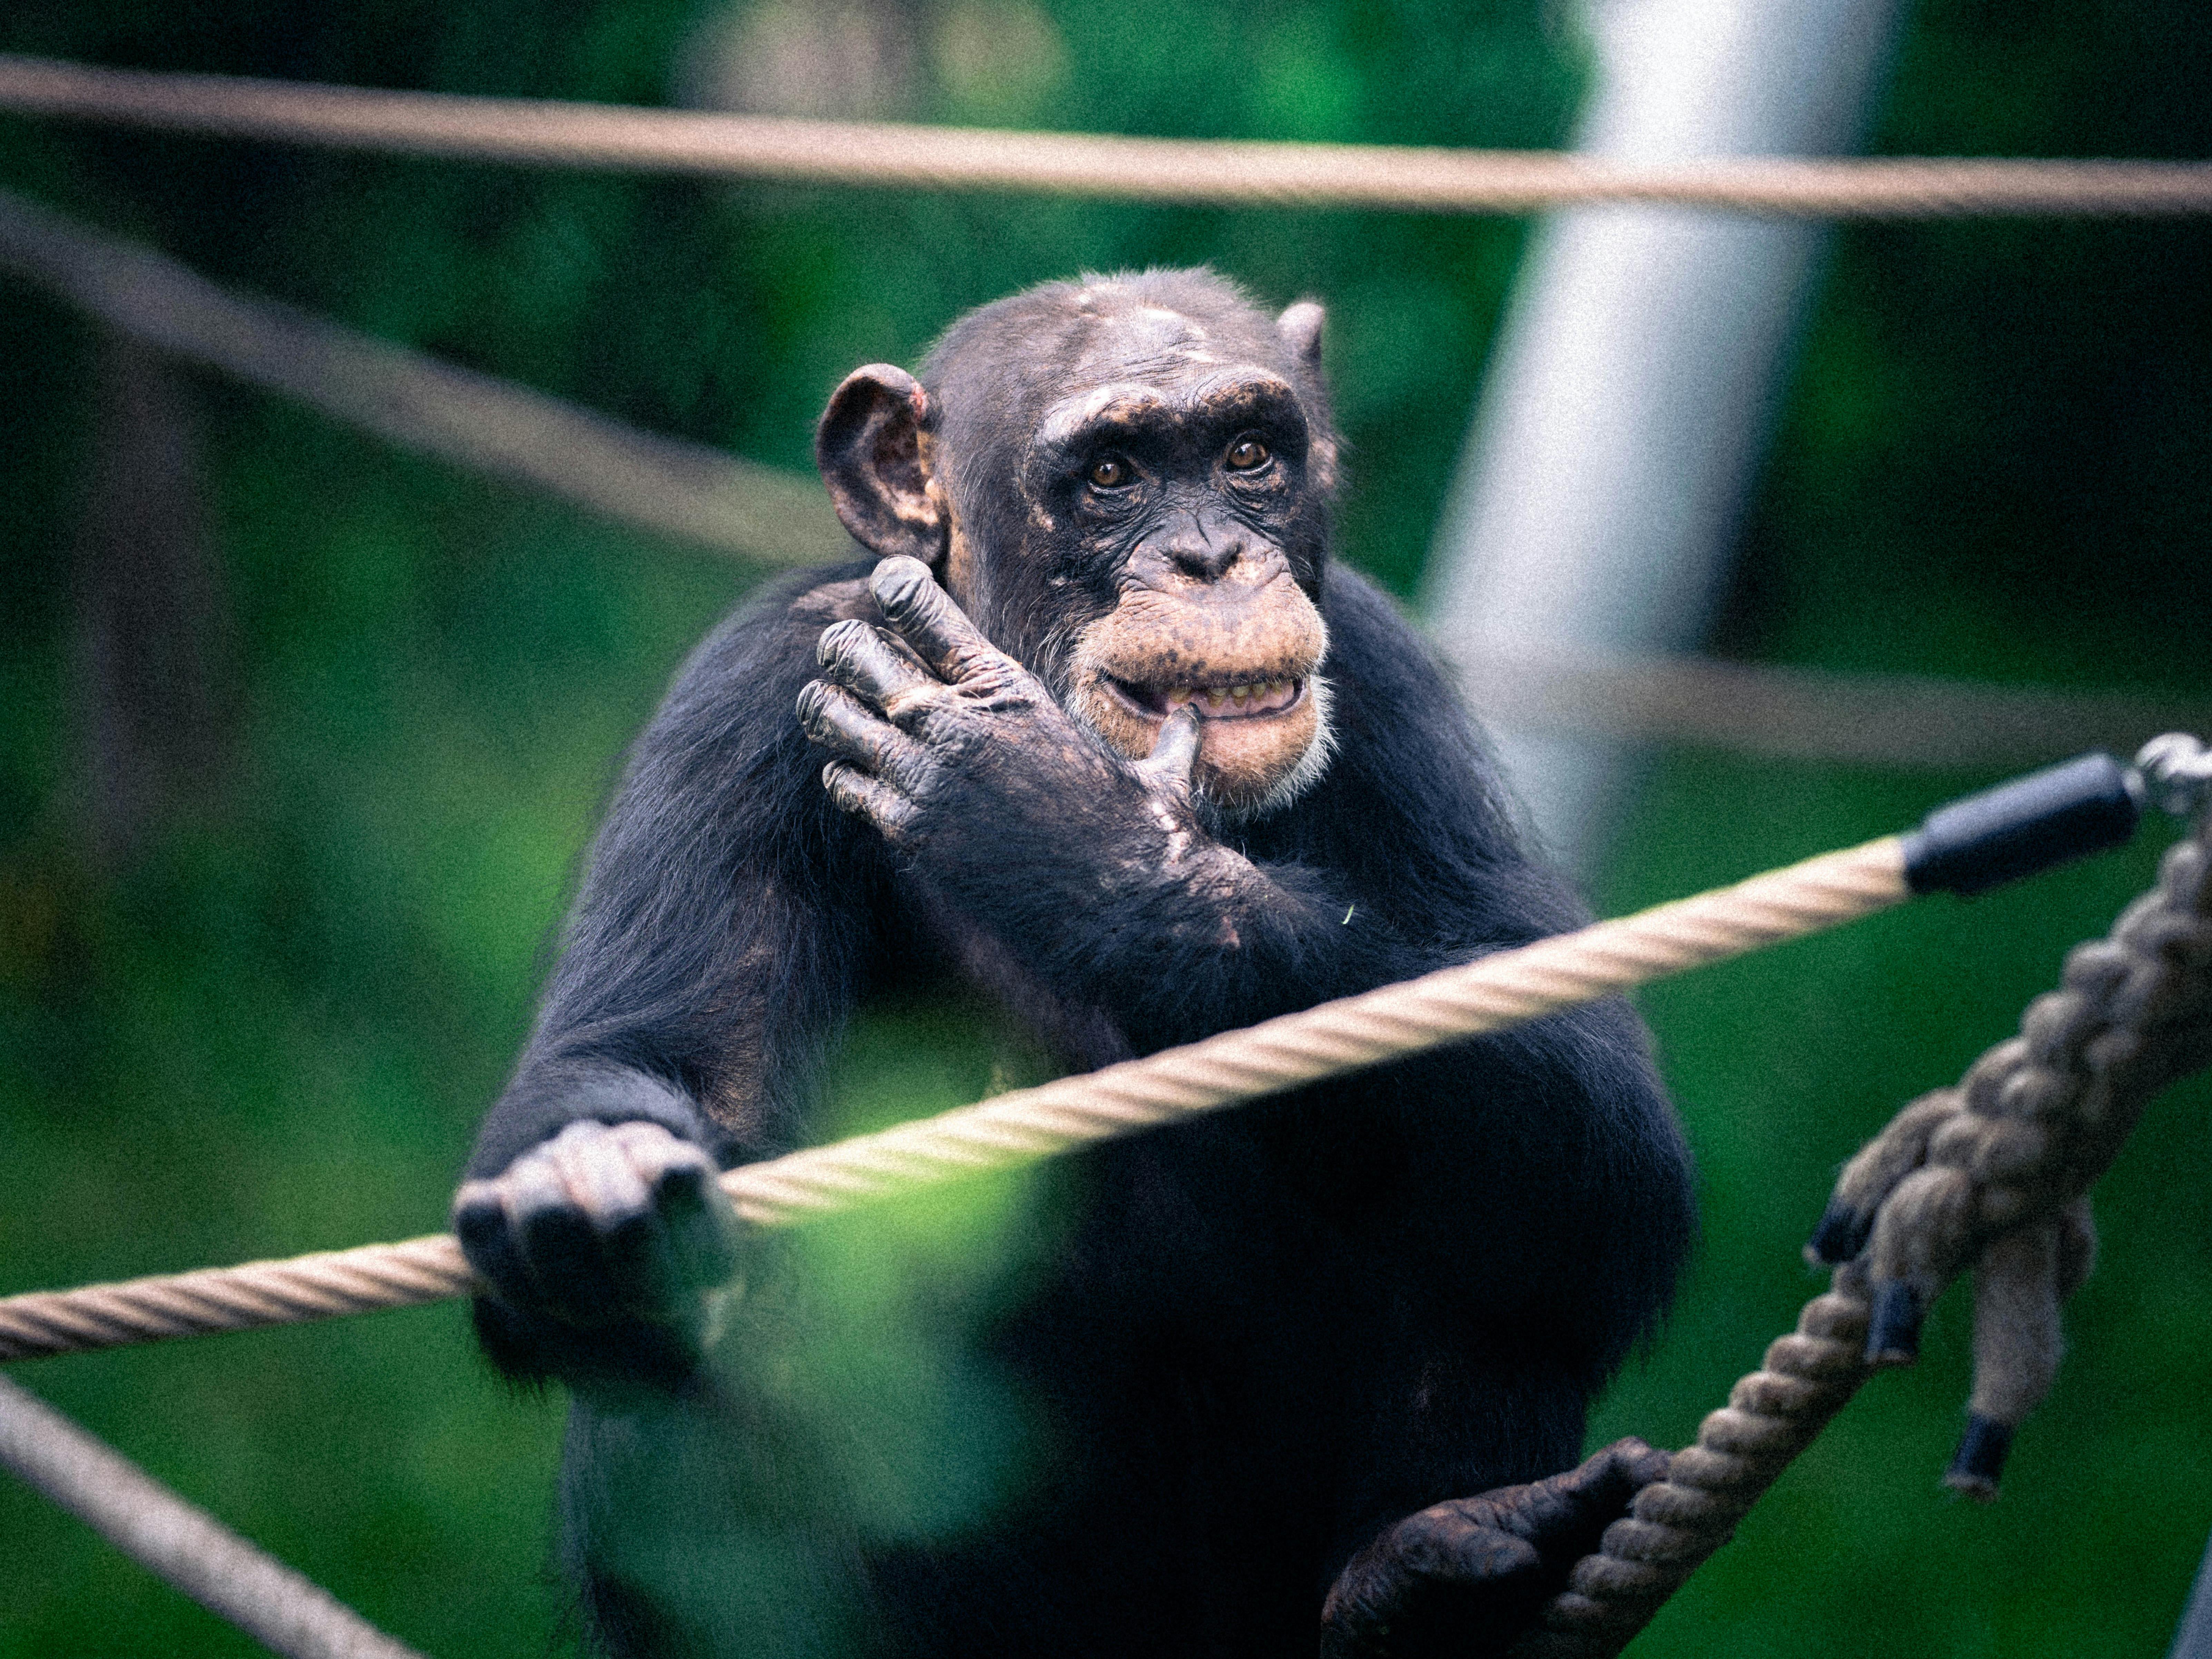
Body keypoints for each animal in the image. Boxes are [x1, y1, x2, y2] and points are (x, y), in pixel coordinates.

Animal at [453, 268, 1695, 1657]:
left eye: (1248, 454)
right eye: (1110, 474)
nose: (1211, 557)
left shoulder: (1387, 678)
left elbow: (1586, 1081)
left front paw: (1075, 836)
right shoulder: (741, 699)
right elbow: (669, 1065)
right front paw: (584, 1183)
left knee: (1511, 1218)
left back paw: (1422, 1569)